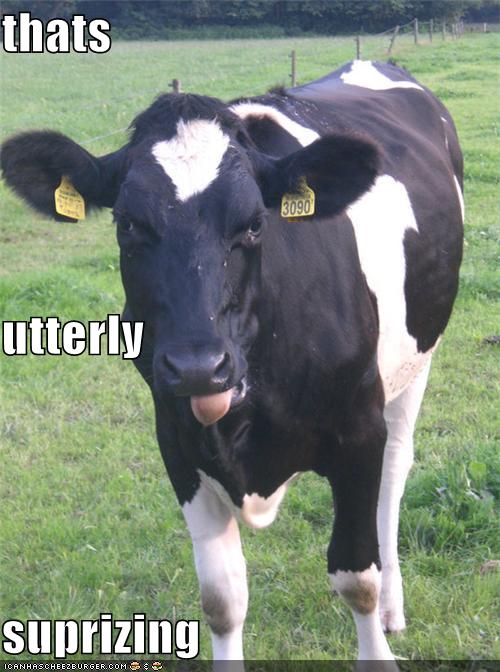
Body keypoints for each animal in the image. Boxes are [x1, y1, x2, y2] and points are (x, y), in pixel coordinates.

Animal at [1, 59, 463, 663]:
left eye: (254, 223)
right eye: (128, 224)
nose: (199, 365)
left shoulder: (358, 430)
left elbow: (356, 576)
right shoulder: (177, 441)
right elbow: (222, 599)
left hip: (415, 364)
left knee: (393, 473)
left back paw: (392, 606)